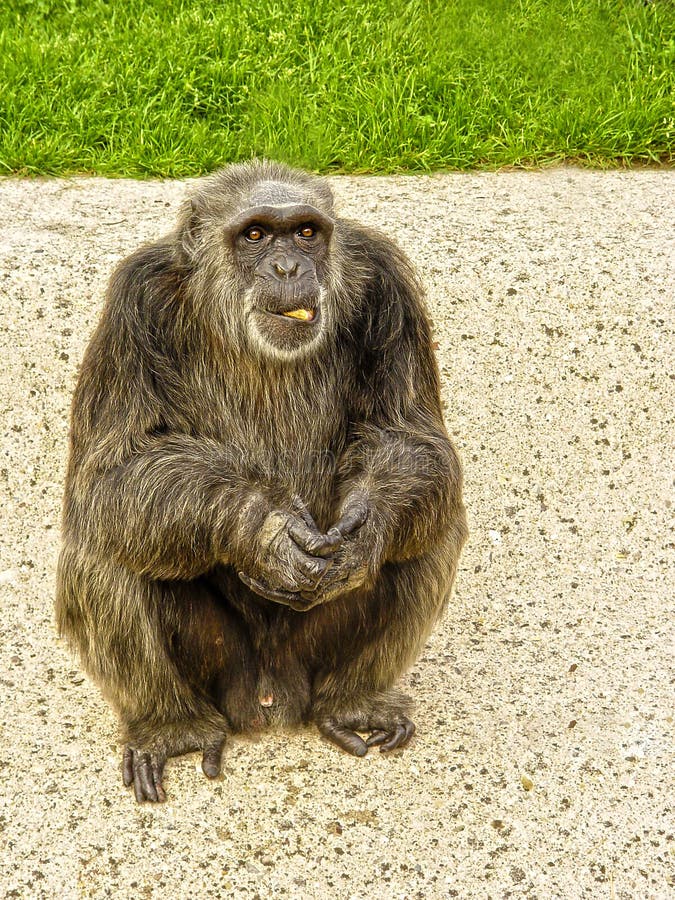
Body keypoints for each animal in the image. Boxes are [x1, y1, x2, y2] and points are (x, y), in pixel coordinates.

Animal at [55, 160, 468, 802]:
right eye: (254, 235)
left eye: (305, 232)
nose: (288, 267)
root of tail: (271, 699)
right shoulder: (132, 308)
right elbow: (110, 474)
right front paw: (264, 528)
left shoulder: (390, 287)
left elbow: (414, 438)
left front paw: (366, 529)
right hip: (225, 668)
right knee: (105, 545)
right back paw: (170, 725)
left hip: (311, 654)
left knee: (429, 529)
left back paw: (353, 702)